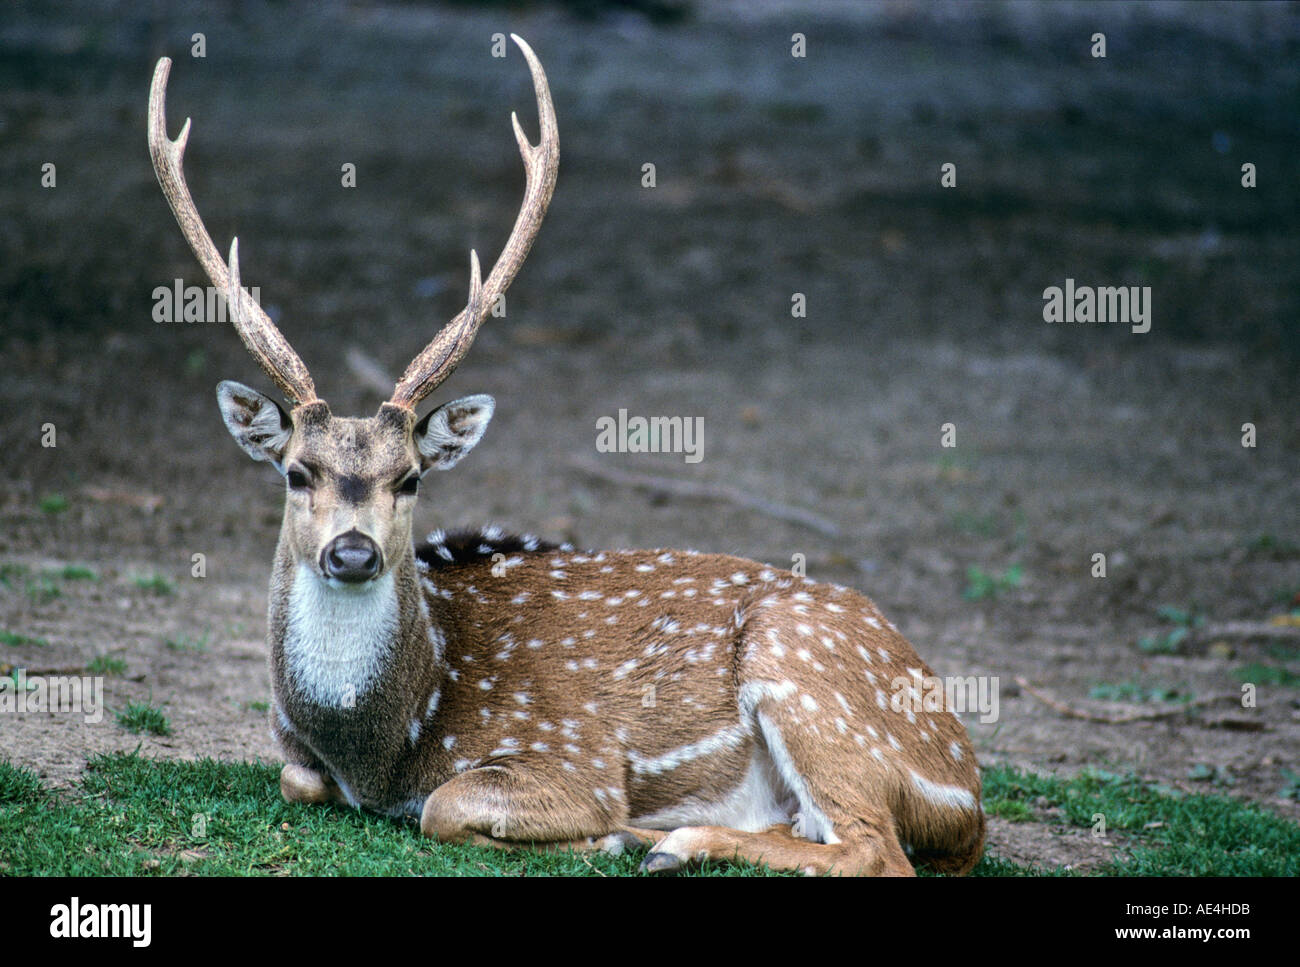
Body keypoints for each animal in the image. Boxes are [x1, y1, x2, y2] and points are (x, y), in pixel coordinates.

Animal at [147, 35, 984, 876]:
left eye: (410, 477)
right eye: (296, 471)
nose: (352, 553)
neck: (386, 747)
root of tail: (969, 792)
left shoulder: (575, 755)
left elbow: (446, 806)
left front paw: (604, 829)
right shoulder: (299, 758)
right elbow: (295, 779)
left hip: (807, 681)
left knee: (873, 847)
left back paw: (665, 839)